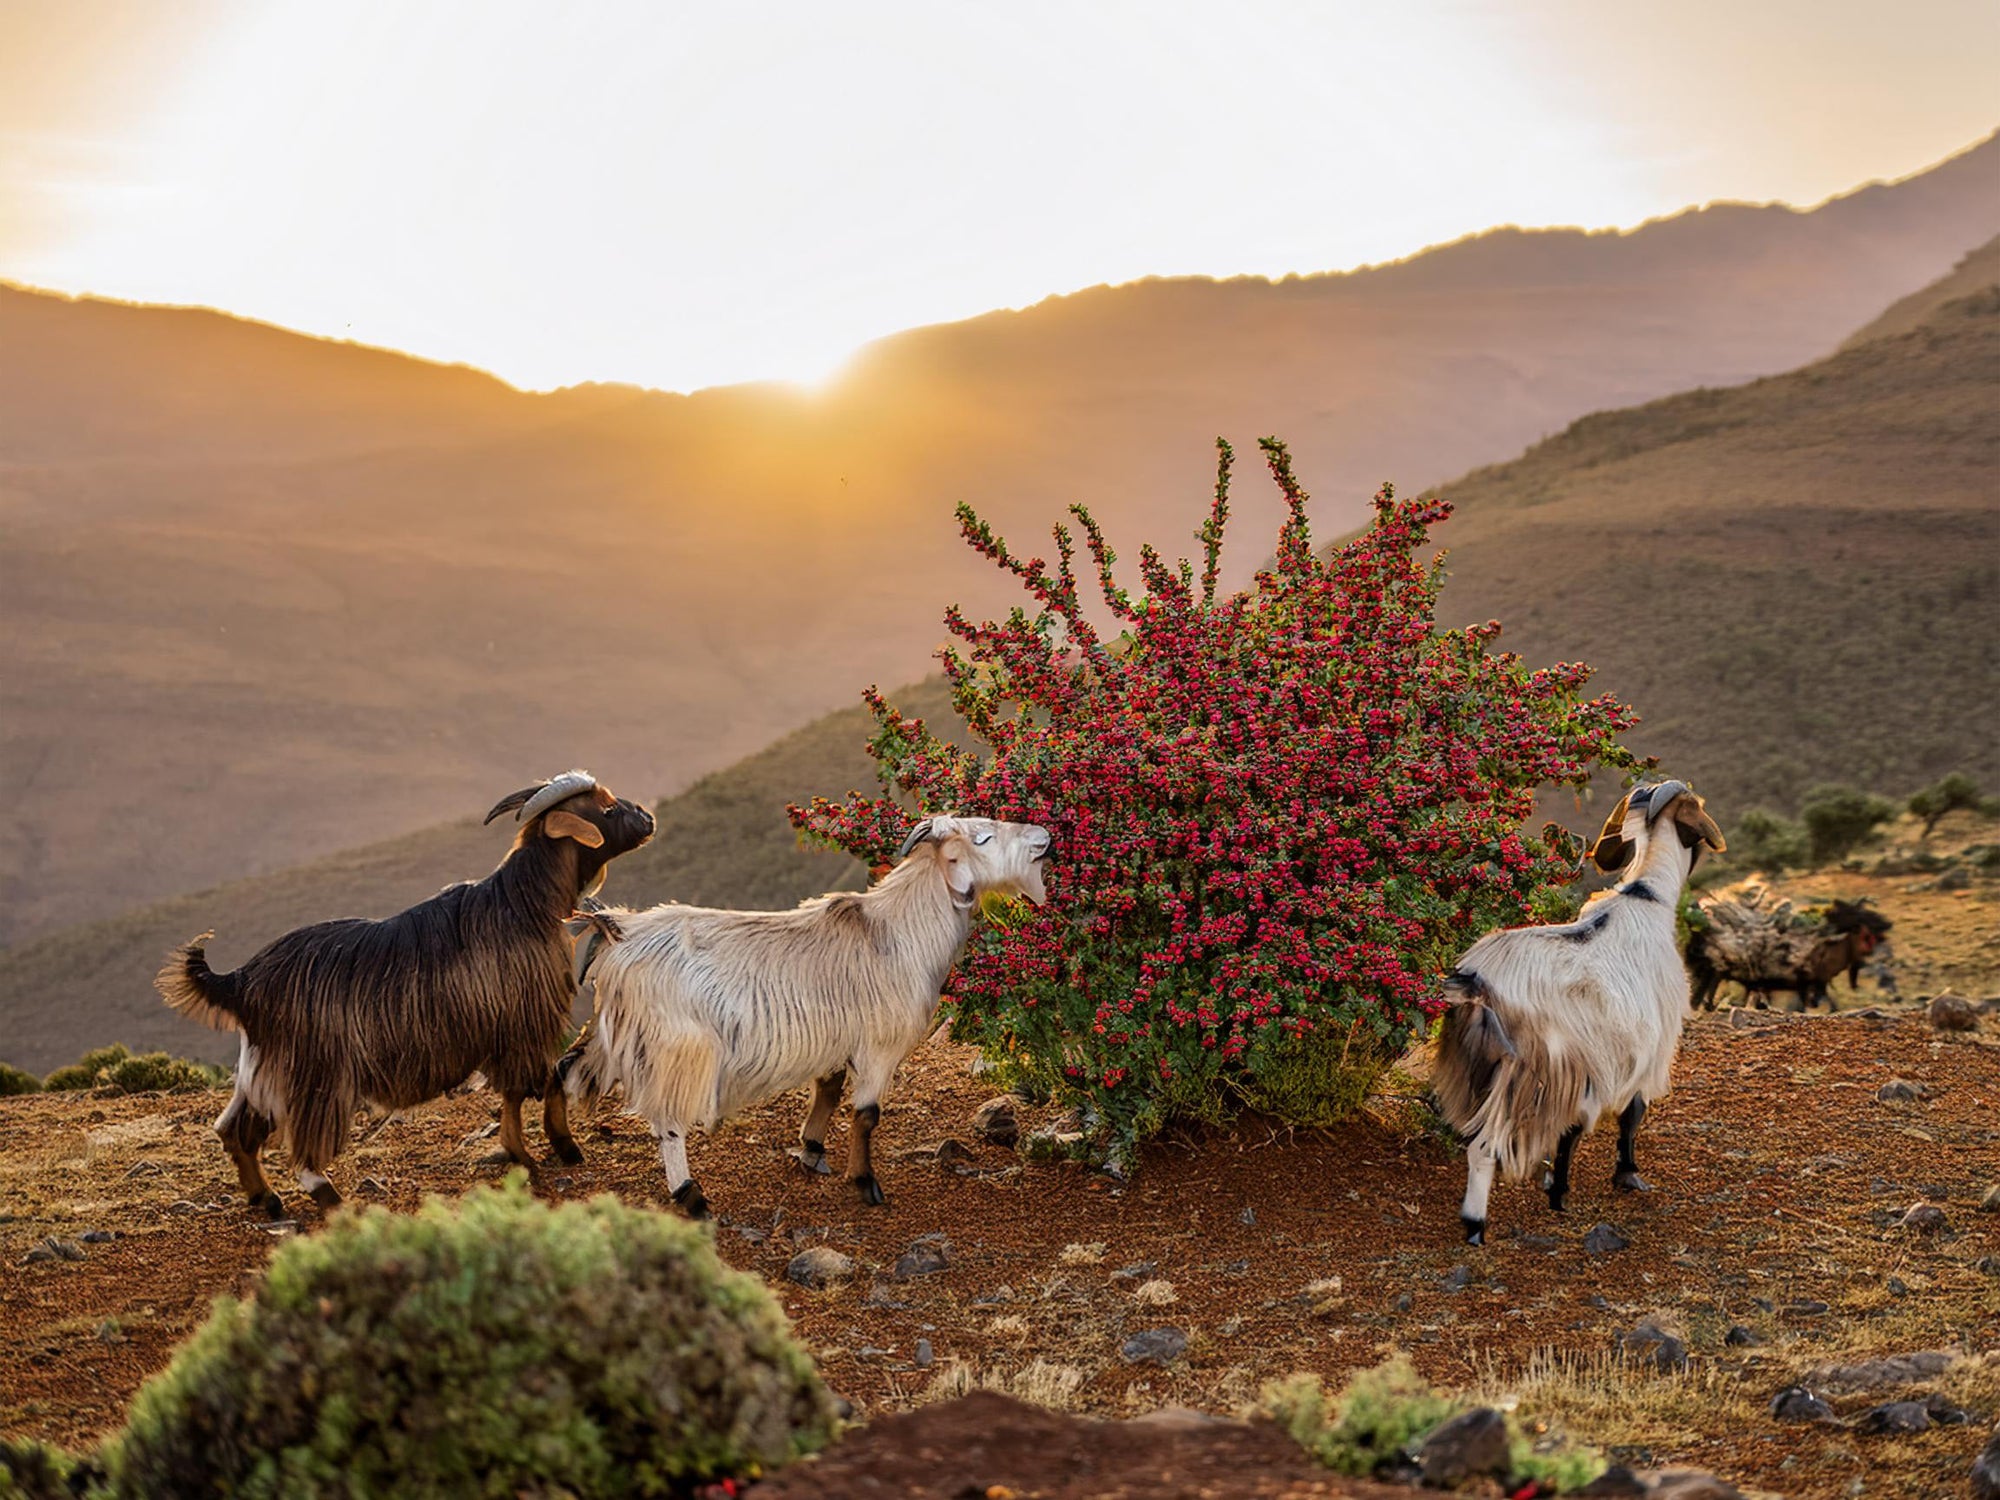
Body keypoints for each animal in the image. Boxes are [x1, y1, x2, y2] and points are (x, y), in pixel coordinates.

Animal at [156, 771, 655, 1218]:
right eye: (607, 809)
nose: (648, 817)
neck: (524, 904)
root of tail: (240, 983)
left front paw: (547, 1147)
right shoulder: (518, 1027)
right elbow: (534, 1085)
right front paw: (541, 1150)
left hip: (263, 1071)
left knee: (235, 1129)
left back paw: (266, 1198)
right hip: (314, 1073)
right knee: (301, 1145)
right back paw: (329, 1196)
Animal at [556, 815, 1053, 1217]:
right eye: (983, 837)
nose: (1044, 837)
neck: (899, 931)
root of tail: (616, 933)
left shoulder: (837, 1040)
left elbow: (828, 1091)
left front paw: (812, 1149)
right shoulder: (879, 1047)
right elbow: (866, 1115)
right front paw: (865, 1183)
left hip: (616, 1033)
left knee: (568, 1066)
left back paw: (562, 1146)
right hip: (678, 1048)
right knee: (668, 1122)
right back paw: (690, 1195)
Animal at [1431, 780, 1725, 1244]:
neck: (1647, 896)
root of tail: (1476, 980)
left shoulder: (1585, 1065)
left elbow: (1569, 1133)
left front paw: (1558, 1192)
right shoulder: (1648, 1051)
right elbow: (1631, 1114)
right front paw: (1627, 1175)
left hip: (1476, 1066)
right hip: (1519, 1072)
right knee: (1483, 1146)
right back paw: (1475, 1226)